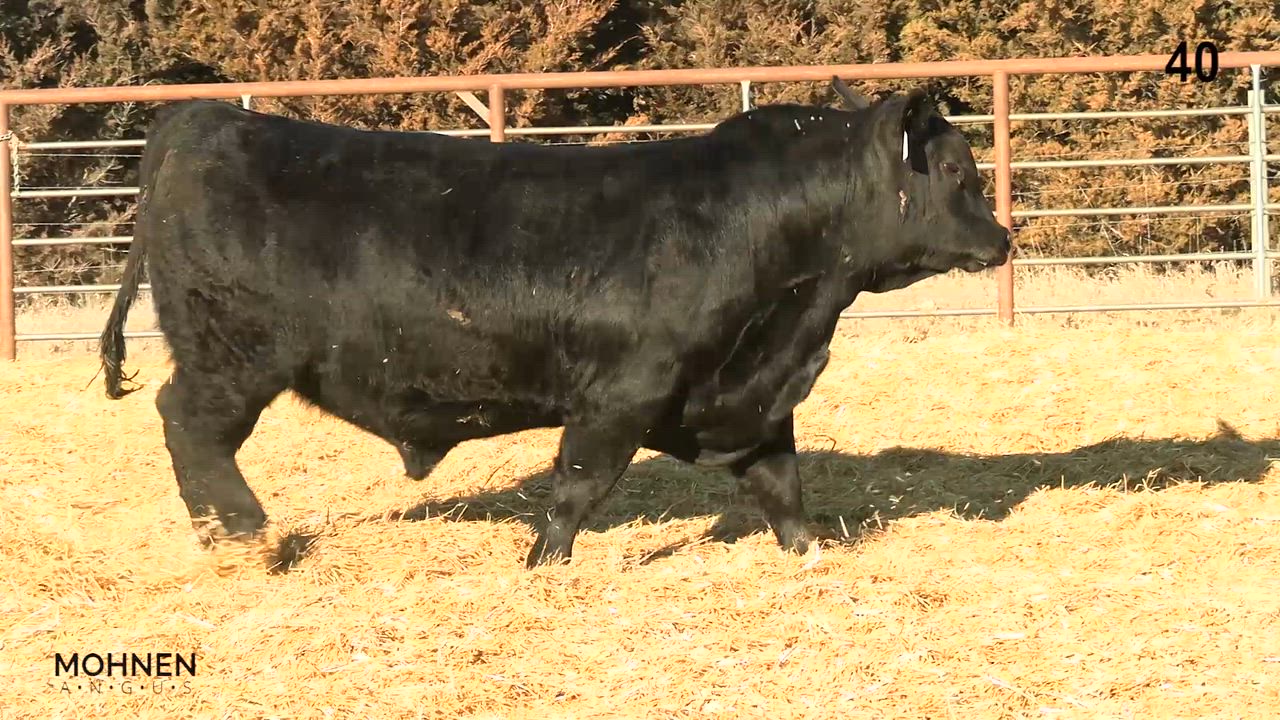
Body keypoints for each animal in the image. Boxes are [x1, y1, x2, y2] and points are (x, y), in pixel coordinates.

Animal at [98, 79, 1010, 568]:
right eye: (956, 170)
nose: (1003, 238)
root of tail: (203, 118)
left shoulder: (744, 395)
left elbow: (780, 485)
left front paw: (811, 551)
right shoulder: (621, 394)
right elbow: (578, 484)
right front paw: (543, 564)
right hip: (232, 358)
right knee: (190, 428)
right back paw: (243, 536)